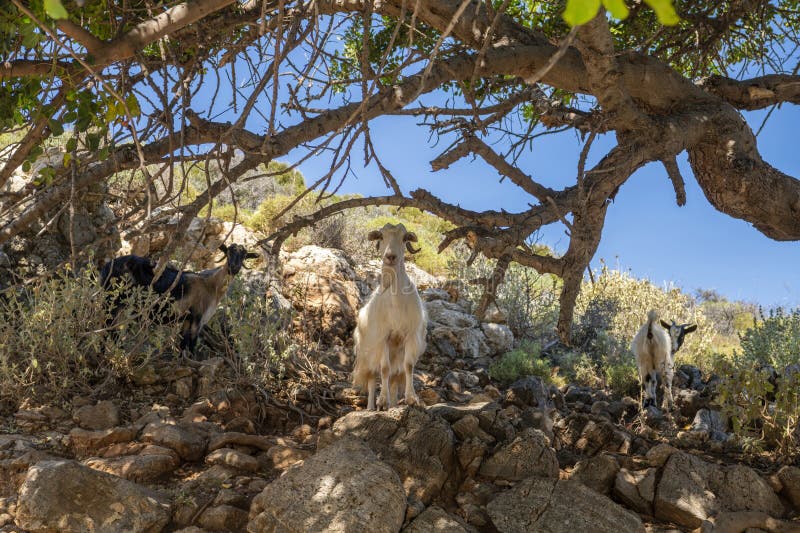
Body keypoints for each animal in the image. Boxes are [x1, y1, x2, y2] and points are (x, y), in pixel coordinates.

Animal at [100, 243, 259, 356]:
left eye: (244, 255)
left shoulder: (186, 320)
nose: (234, 267)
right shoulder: (197, 319)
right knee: (109, 328)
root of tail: (106, 267)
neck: (211, 285)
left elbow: (183, 345)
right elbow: (191, 345)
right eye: (229, 253)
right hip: (113, 302)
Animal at [352, 223, 427, 410]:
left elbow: (409, 366)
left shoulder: (410, 337)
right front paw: (382, 401)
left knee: (393, 380)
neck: (396, 303)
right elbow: (384, 369)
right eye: (381, 236)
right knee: (372, 380)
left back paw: (393, 405)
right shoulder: (383, 338)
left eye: (404, 238)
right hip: (367, 356)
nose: (391, 256)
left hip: (395, 357)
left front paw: (411, 399)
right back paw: (371, 408)